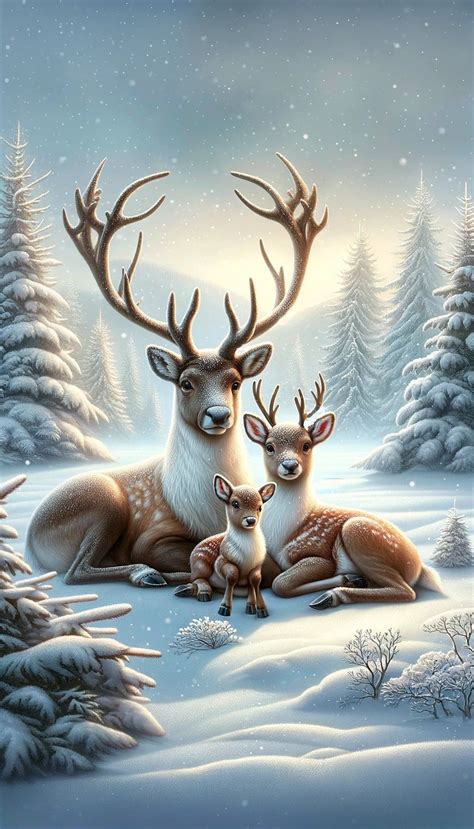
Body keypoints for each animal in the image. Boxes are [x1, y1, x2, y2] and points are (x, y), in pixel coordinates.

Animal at [26, 154, 328, 588]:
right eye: (186, 383)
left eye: (236, 382)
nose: (218, 415)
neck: (206, 509)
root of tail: (31, 543)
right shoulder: (153, 535)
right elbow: (185, 553)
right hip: (104, 503)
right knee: (74, 571)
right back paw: (147, 575)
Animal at [175, 475, 276, 617]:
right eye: (235, 504)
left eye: (260, 507)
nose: (250, 520)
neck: (247, 557)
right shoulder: (222, 560)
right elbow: (232, 576)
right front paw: (224, 608)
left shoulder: (256, 566)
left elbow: (255, 581)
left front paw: (257, 609)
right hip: (200, 564)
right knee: (197, 578)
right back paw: (199, 592)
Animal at [243, 377, 444, 609]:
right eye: (269, 446)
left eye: (306, 445)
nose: (290, 465)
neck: (284, 530)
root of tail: (419, 567)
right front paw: (350, 578)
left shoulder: (319, 555)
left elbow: (280, 583)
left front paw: (346, 579)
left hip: (358, 533)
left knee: (405, 591)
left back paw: (331, 596)